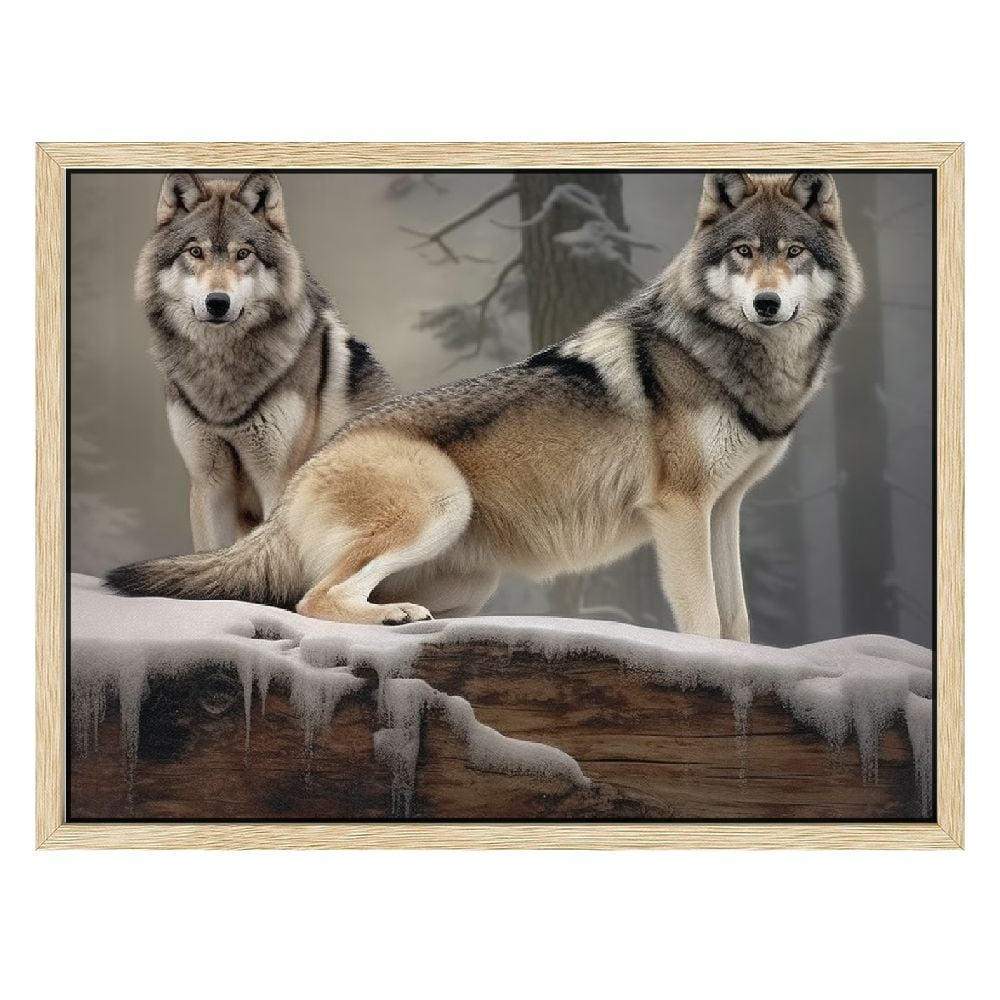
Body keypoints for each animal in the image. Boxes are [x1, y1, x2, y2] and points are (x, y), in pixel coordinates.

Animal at [134, 171, 394, 551]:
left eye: (244, 253)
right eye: (195, 251)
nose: (217, 302)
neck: (222, 371)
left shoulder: (277, 480)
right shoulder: (209, 484)